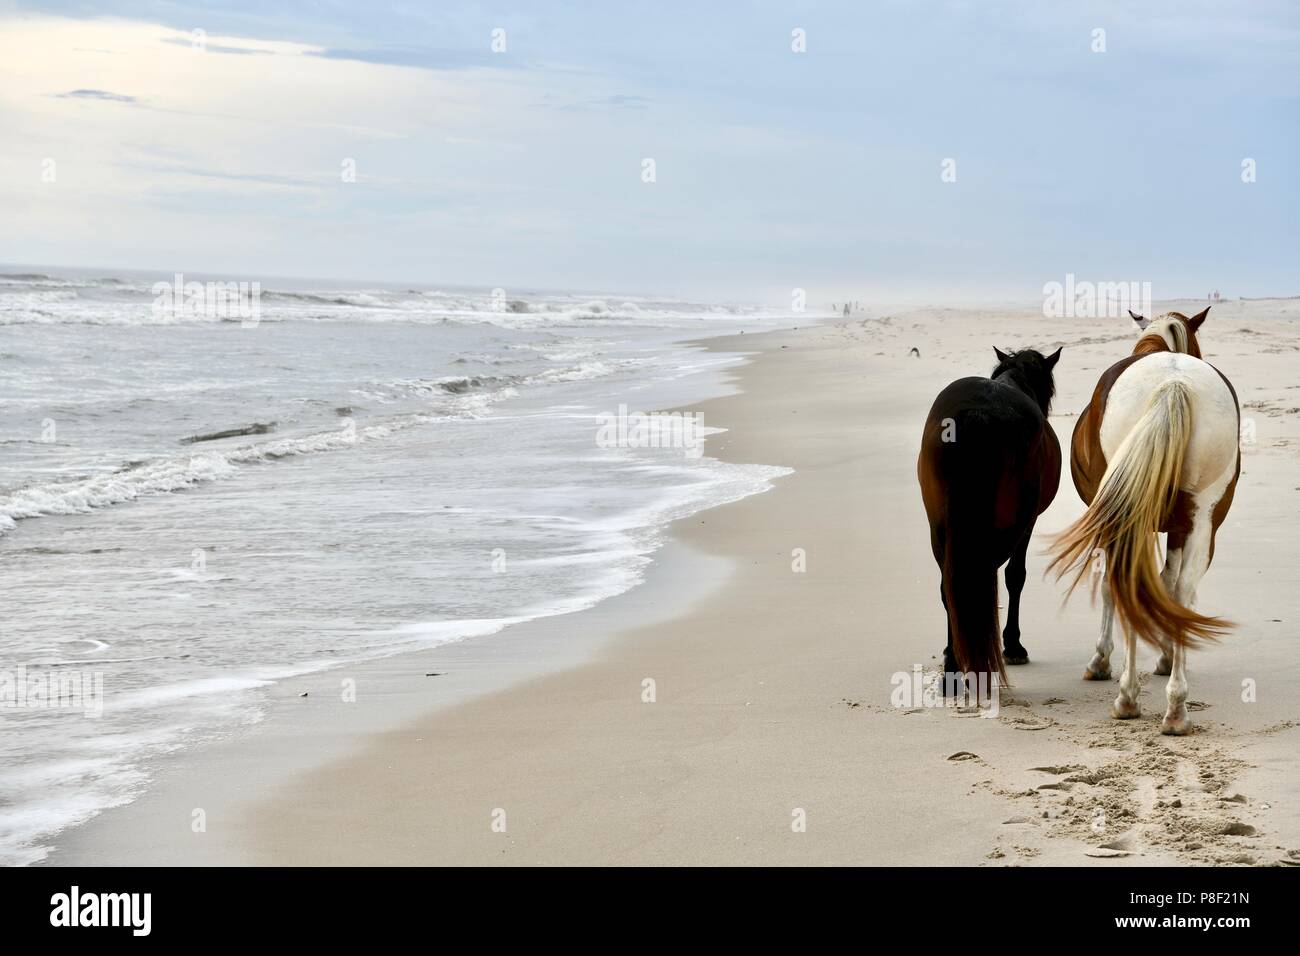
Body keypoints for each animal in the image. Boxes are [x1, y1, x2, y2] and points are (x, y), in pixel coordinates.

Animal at [917, 347, 1062, 690]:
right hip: (1011, 525)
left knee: (951, 584)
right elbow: (1015, 576)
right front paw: (1013, 645)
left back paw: (954, 666)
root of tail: (977, 414)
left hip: (939, 527)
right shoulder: (1028, 525)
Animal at [1048, 308, 1239, 735]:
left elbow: (1109, 588)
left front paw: (1101, 661)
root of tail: (1174, 383)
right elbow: (1168, 585)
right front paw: (1166, 656)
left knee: (1125, 584)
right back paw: (1177, 708)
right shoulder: (1180, 528)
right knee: (1183, 590)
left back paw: (1127, 698)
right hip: (1205, 516)